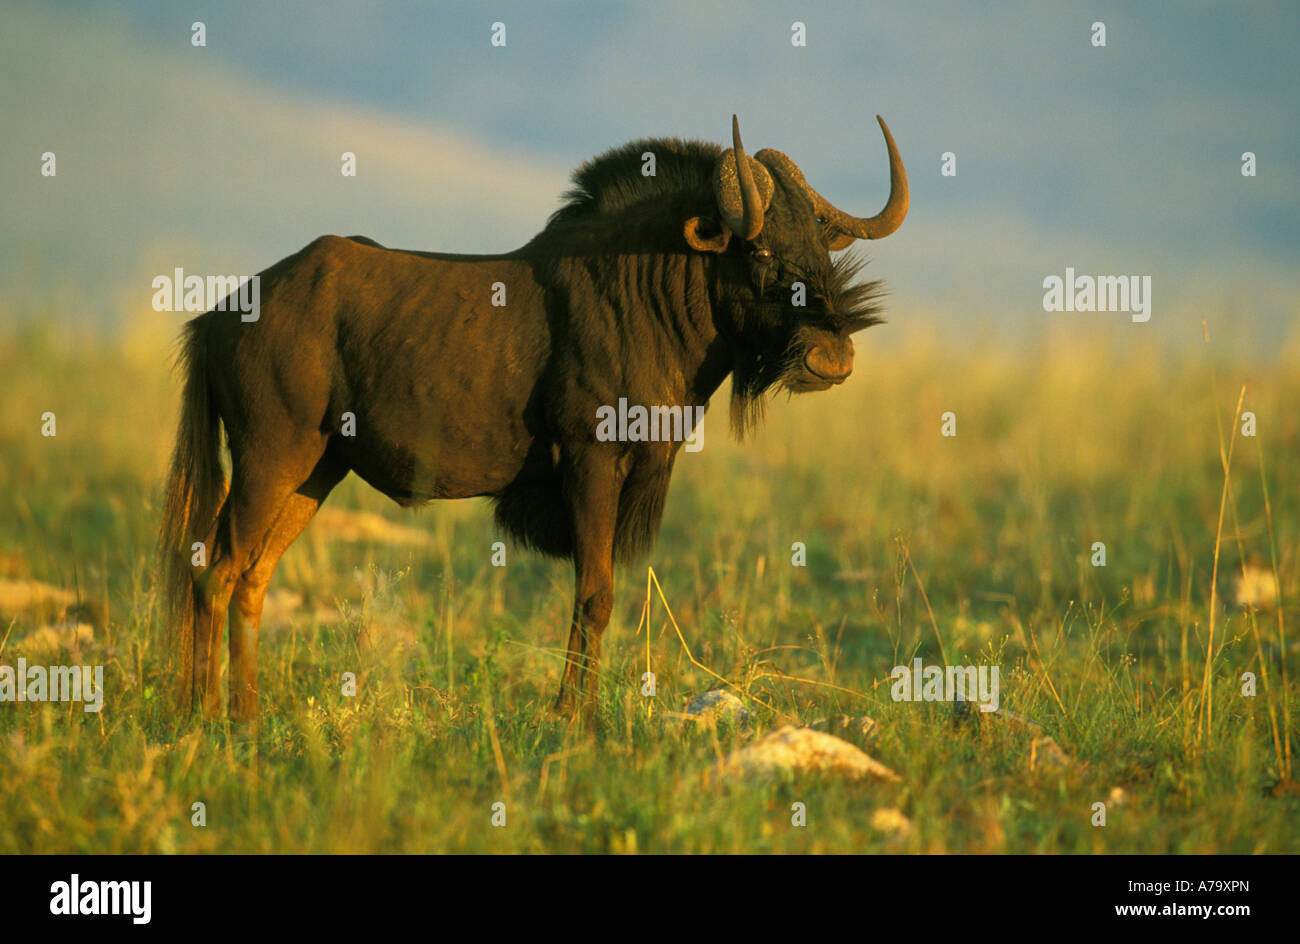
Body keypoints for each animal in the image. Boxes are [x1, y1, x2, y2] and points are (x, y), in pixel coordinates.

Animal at [159, 115, 908, 722]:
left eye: (822, 247)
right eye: (759, 251)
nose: (831, 357)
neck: (647, 292)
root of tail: (220, 314)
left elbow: (590, 597)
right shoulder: (591, 464)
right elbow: (595, 595)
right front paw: (575, 720)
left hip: (313, 475)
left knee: (251, 580)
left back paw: (246, 716)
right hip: (268, 462)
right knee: (215, 572)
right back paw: (207, 719)